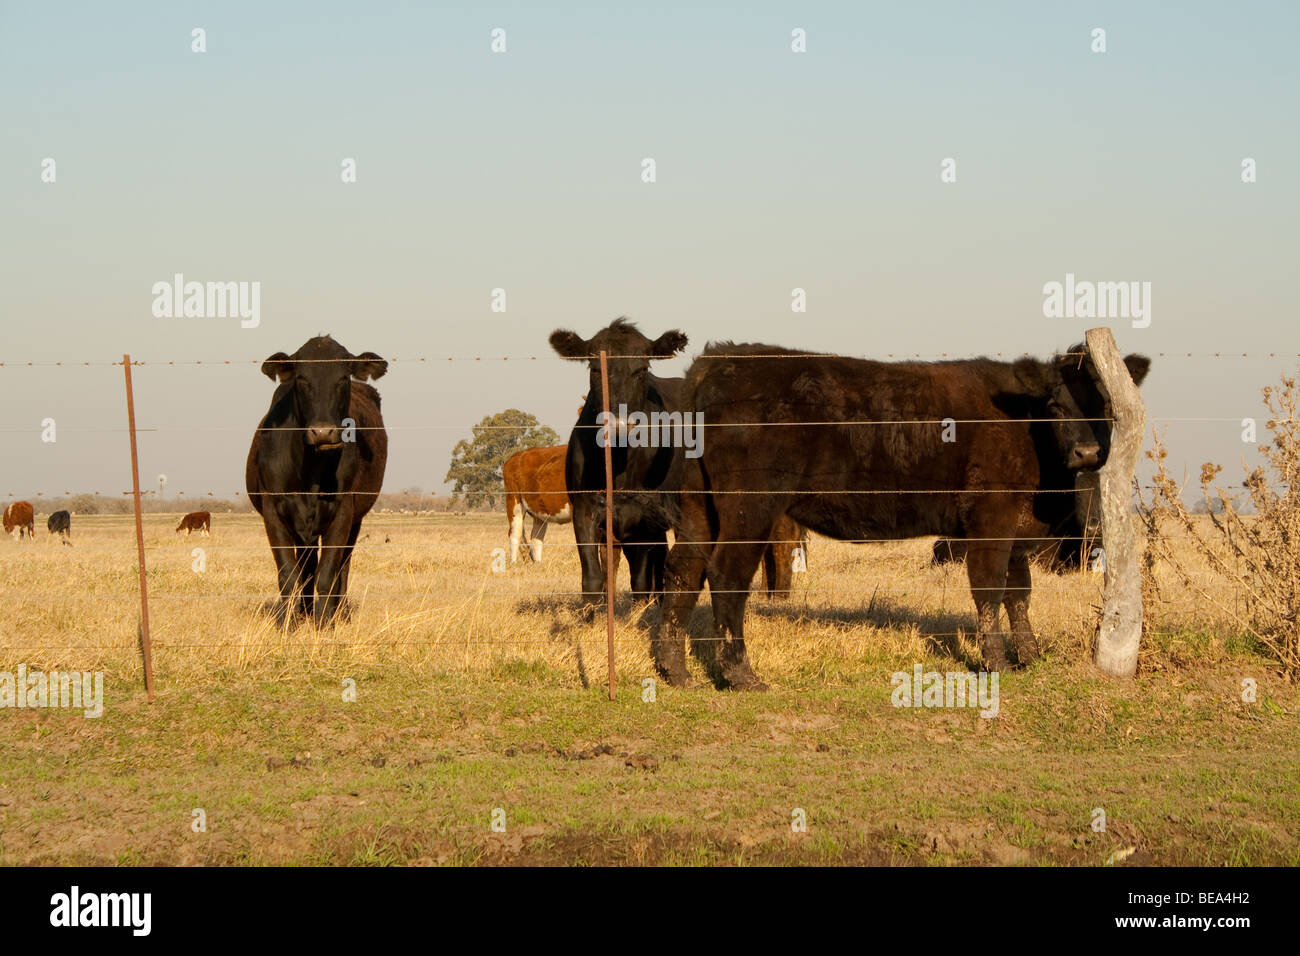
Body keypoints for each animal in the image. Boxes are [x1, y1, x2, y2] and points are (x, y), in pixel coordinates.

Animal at [245, 335, 388, 625]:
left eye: (343, 377)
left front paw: (324, 624)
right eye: (302, 377)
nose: (323, 432)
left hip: (354, 521)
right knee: (306, 567)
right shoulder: (274, 512)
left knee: (342, 567)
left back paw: (338, 612)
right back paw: (305, 611)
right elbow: (288, 575)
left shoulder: (342, 512)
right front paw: (287, 624)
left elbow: (327, 574)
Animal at [651, 342, 1151, 690]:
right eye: (1055, 405)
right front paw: (996, 662)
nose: (1088, 452)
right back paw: (741, 674)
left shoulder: (1016, 529)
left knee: (684, 571)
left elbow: (1019, 594)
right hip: (749, 507)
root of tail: (718, 360)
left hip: (698, 506)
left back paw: (677, 672)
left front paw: (1029, 655)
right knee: (727, 574)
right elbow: (990, 590)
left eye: (1106, 406)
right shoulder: (990, 518)